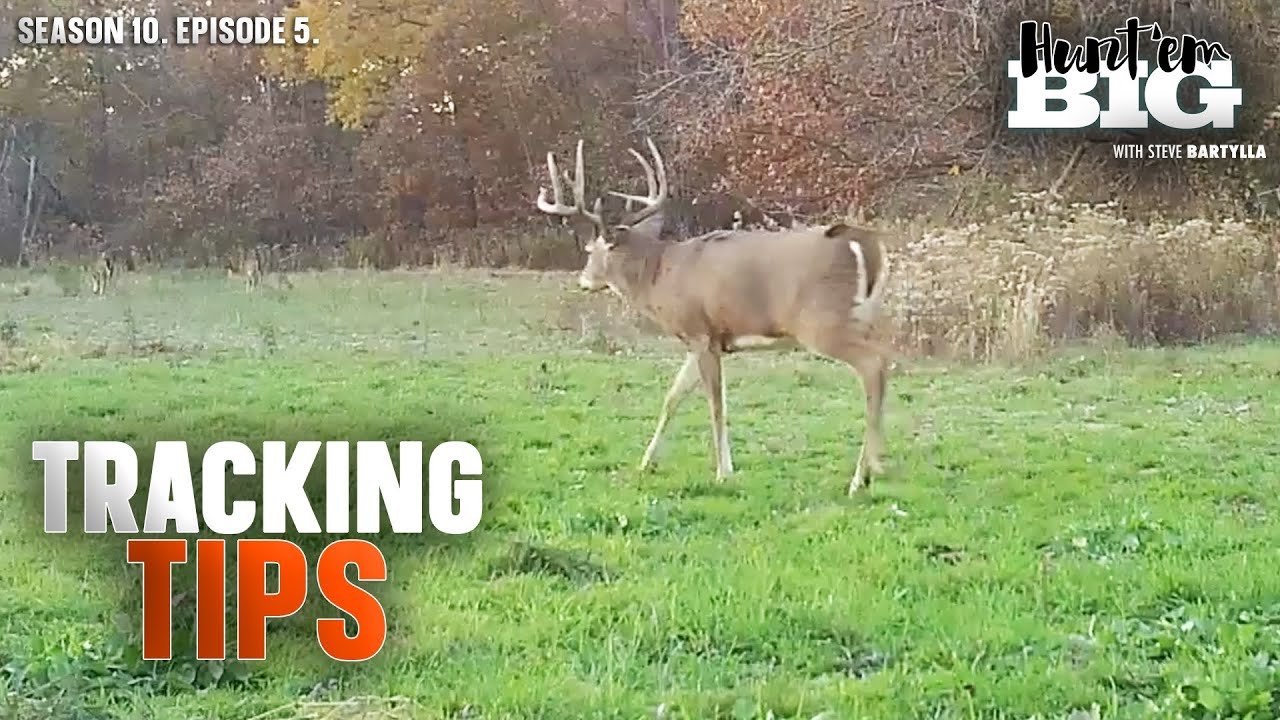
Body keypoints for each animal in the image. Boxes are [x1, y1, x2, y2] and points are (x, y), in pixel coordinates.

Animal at [534, 138, 895, 495]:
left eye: (591, 250)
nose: (583, 280)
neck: (659, 276)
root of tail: (862, 242)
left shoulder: (700, 332)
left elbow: (715, 402)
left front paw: (723, 471)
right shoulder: (702, 340)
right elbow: (673, 396)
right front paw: (645, 463)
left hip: (822, 322)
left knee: (873, 367)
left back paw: (860, 478)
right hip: (862, 319)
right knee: (882, 366)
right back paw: (872, 468)